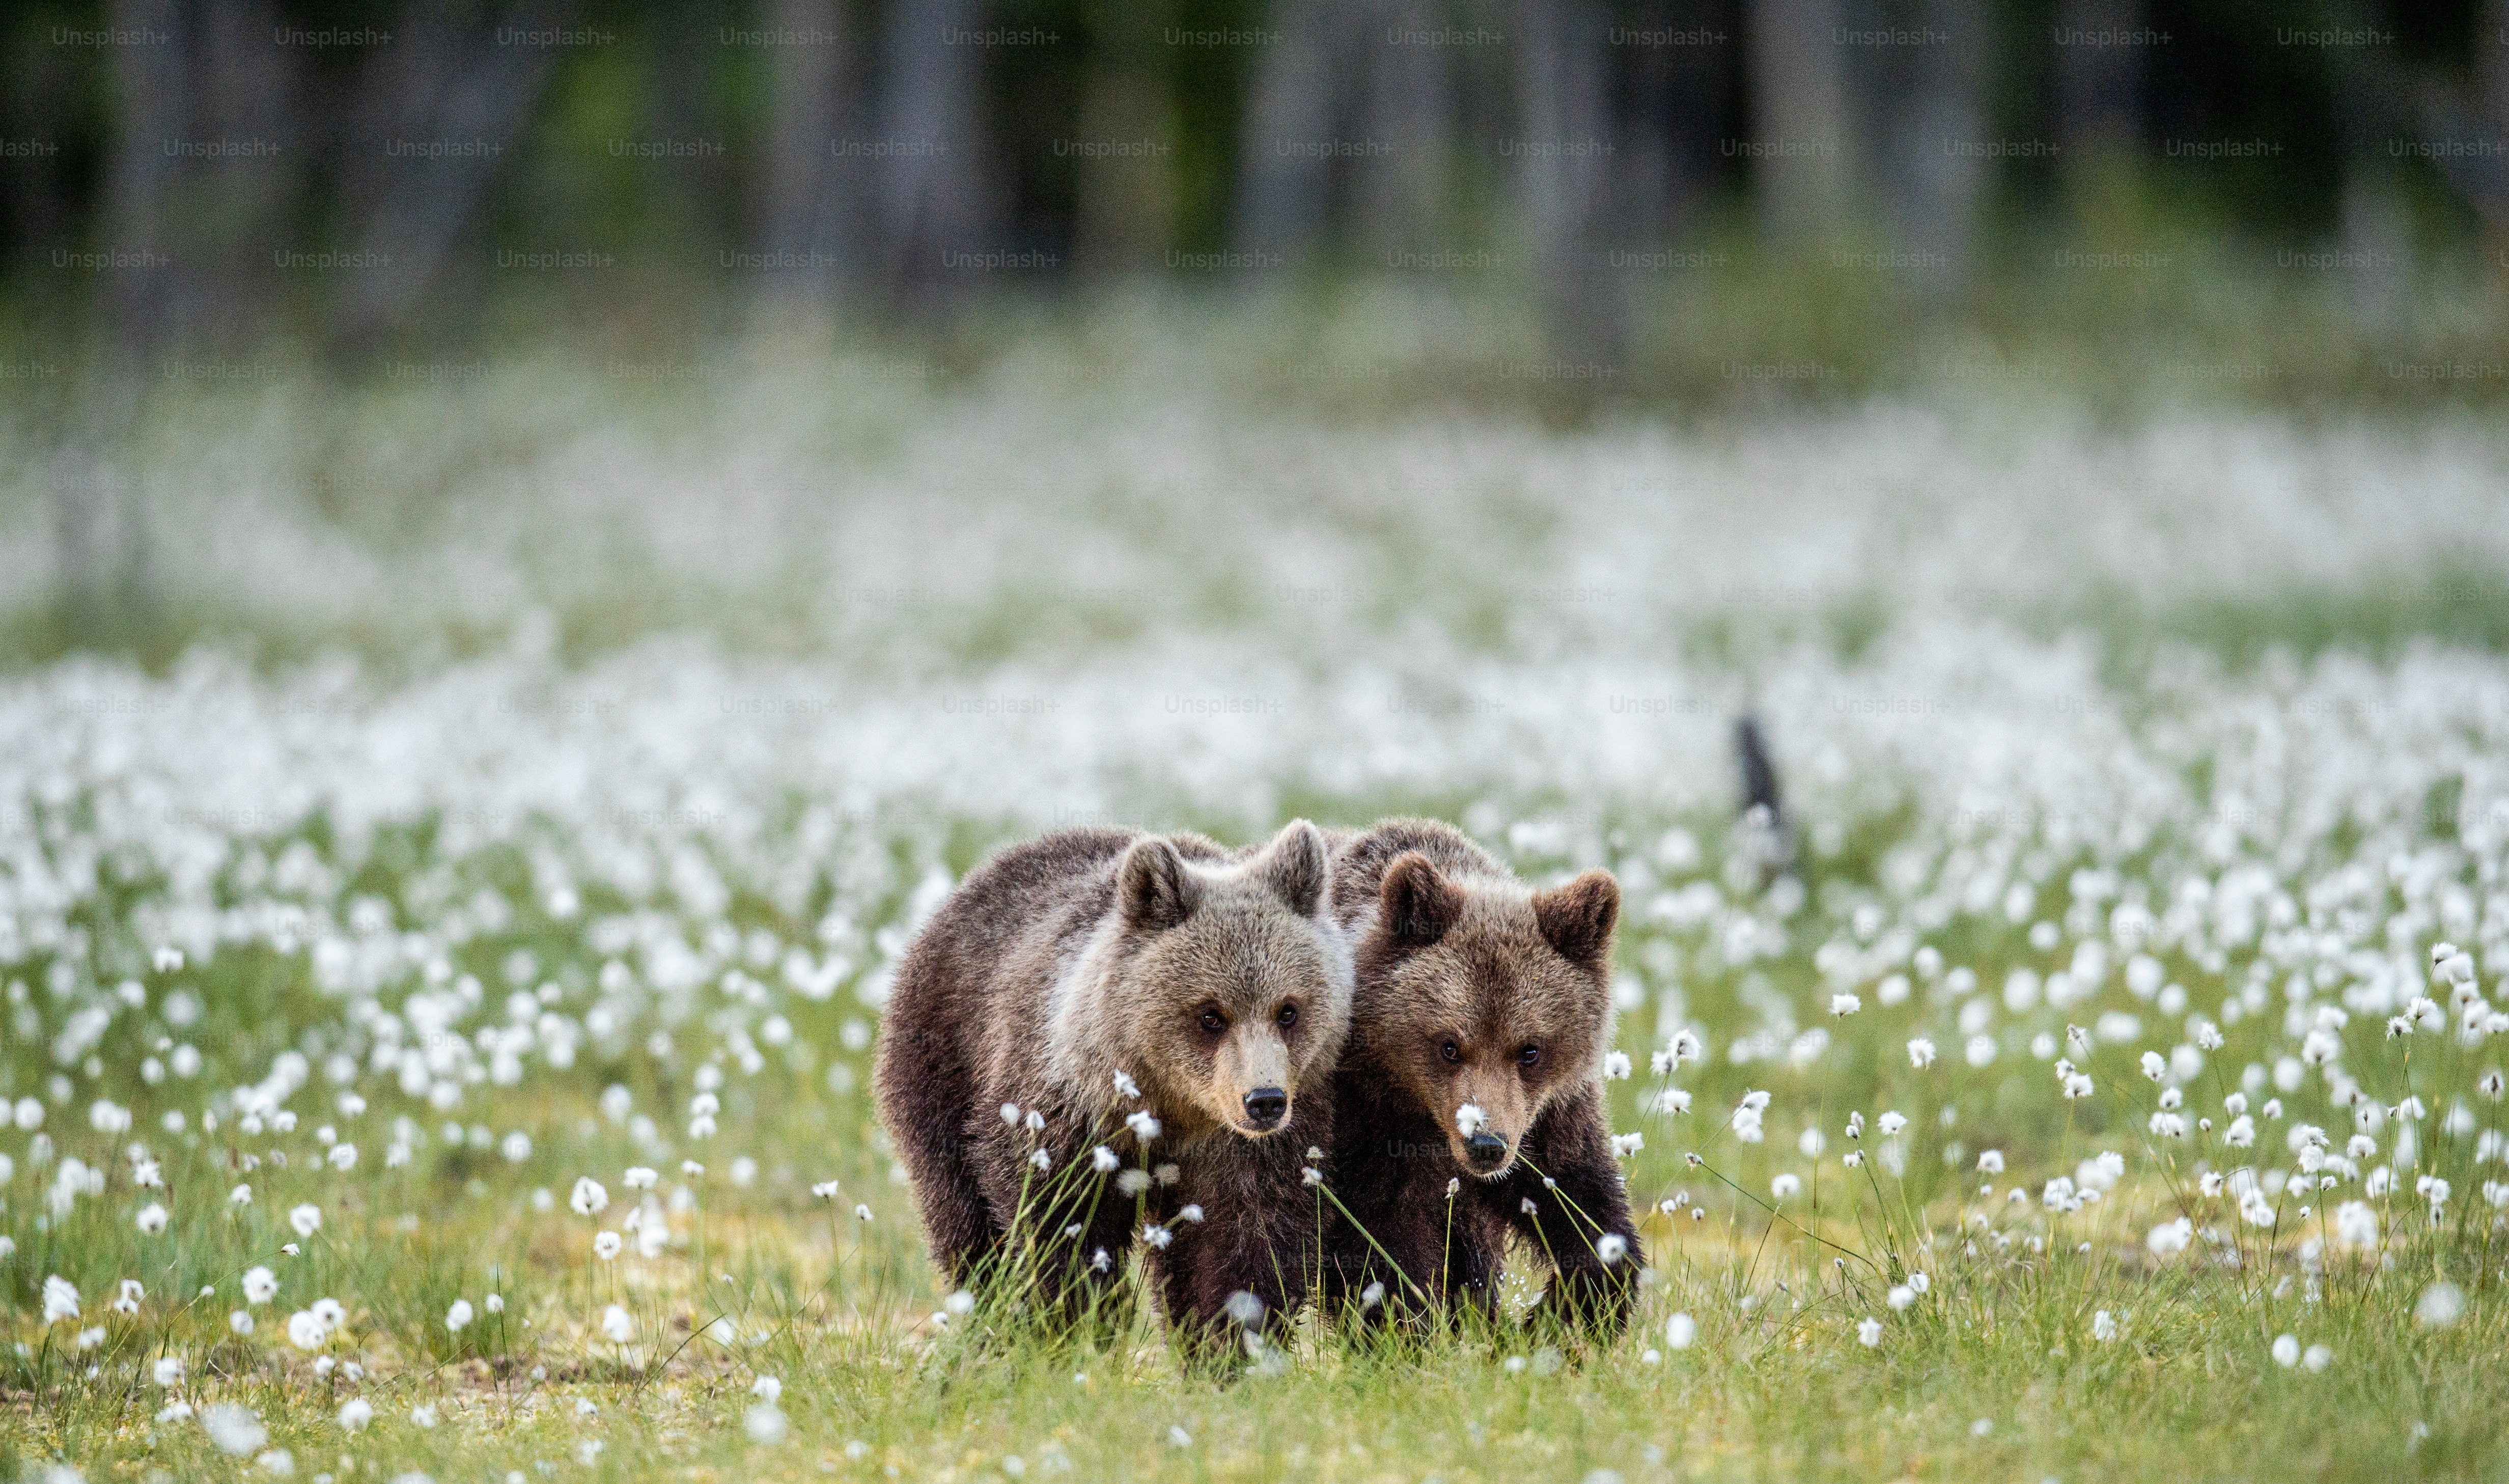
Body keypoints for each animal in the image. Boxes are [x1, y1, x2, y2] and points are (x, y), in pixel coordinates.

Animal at [873, 819, 1351, 1353]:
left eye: (1288, 1010)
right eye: (1210, 1014)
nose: (1264, 1101)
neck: (1171, 1106)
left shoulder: (1248, 1149)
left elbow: (1245, 1241)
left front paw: (1229, 1345)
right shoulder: (1067, 1113)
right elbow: (1059, 1222)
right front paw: (1074, 1324)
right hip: (943, 1063)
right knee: (963, 1220)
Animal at [1315, 817, 1640, 1337]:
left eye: (1530, 1049)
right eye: (1449, 1044)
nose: (1486, 1143)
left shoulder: (1549, 1116)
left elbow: (1586, 1206)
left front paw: (1561, 1315)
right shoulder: (1369, 1116)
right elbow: (1376, 1238)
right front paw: (1403, 1326)